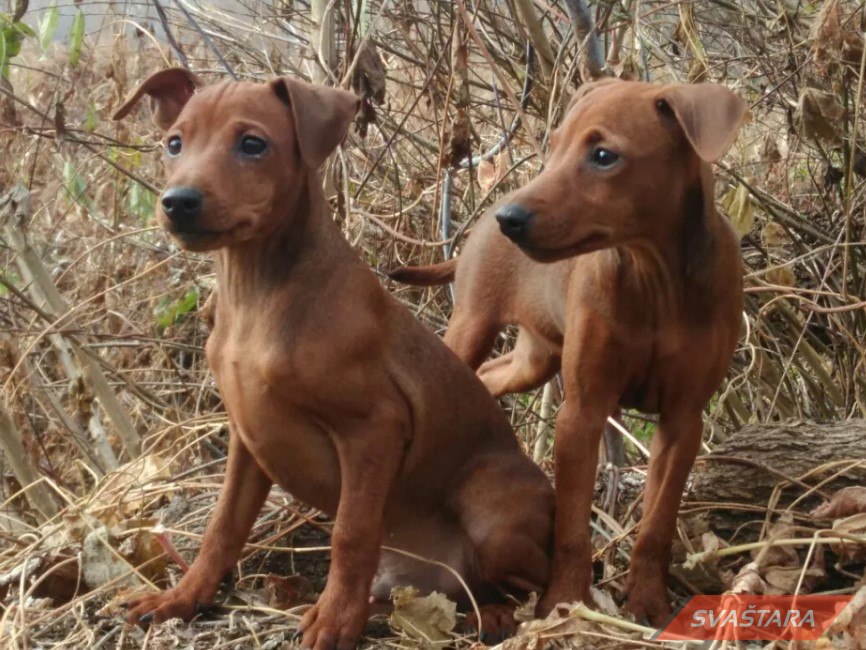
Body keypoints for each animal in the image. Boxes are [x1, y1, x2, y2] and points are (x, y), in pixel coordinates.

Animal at [115, 69, 552, 648]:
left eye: (252, 144)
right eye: (174, 143)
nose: (177, 201)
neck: (258, 295)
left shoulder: (373, 430)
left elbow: (351, 533)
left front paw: (335, 620)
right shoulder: (248, 438)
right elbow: (222, 527)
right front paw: (181, 598)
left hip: (489, 506)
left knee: (531, 583)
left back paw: (497, 614)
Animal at [390, 78, 744, 620]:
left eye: (603, 156)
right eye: (552, 147)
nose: (508, 219)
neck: (655, 279)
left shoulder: (683, 422)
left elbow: (657, 525)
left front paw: (649, 603)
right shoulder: (583, 409)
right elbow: (572, 524)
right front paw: (563, 603)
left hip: (533, 358)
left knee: (491, 377)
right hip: (473, 324)